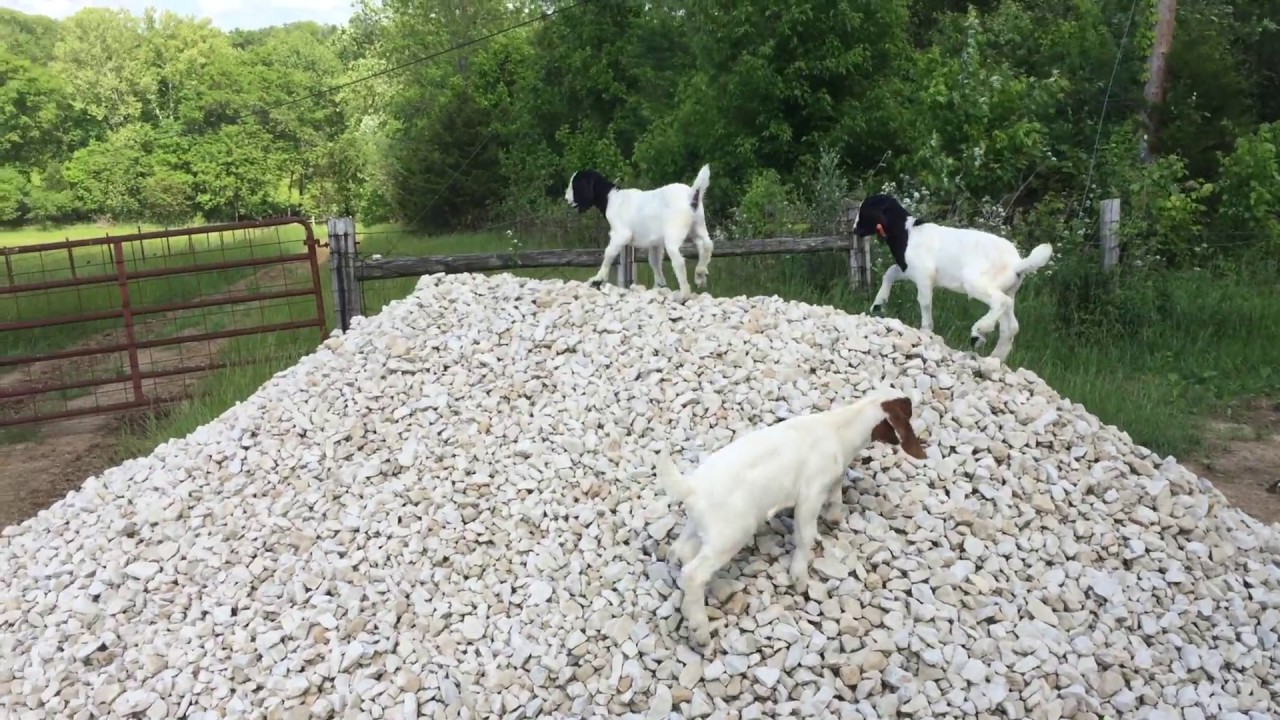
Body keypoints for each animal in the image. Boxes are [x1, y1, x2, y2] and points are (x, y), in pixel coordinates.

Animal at [564, 165, 714, 298]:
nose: (566, 199)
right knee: (707, 245)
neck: (610, 198)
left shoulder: (621, 234)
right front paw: (659, 285)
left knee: (679, 261)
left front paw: (598, 279)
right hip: (698, 227)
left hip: (675, 233)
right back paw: (700, 274)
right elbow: (654, 261)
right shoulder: (655, 243)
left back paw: (685, 294)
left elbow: (609, 253)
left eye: (575, 185)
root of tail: (692, 195)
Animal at [655, 387, 928, 648]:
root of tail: (691, 487)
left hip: (702, 528)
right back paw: (700, 628)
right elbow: (805, 536)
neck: (840, 427)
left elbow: (836, 494)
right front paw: (800, 576)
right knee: (693, 574)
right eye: (909, 410)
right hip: (732, 533)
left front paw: (835, 517)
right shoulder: (810, 496)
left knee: (681, 552)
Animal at [853, 194, 1053, 363]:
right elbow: (890, 272)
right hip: (1009, 290)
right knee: (1010, 325)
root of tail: (1016, 264)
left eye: (865, 210)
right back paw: (995, 357)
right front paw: (878, 304)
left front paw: (925, 330)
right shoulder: (909, 269)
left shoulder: (924, 274)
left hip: (976, 282)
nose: (854, 230)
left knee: (1000, 301)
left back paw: (979, 332)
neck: (908, 233)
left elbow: (924, 301)